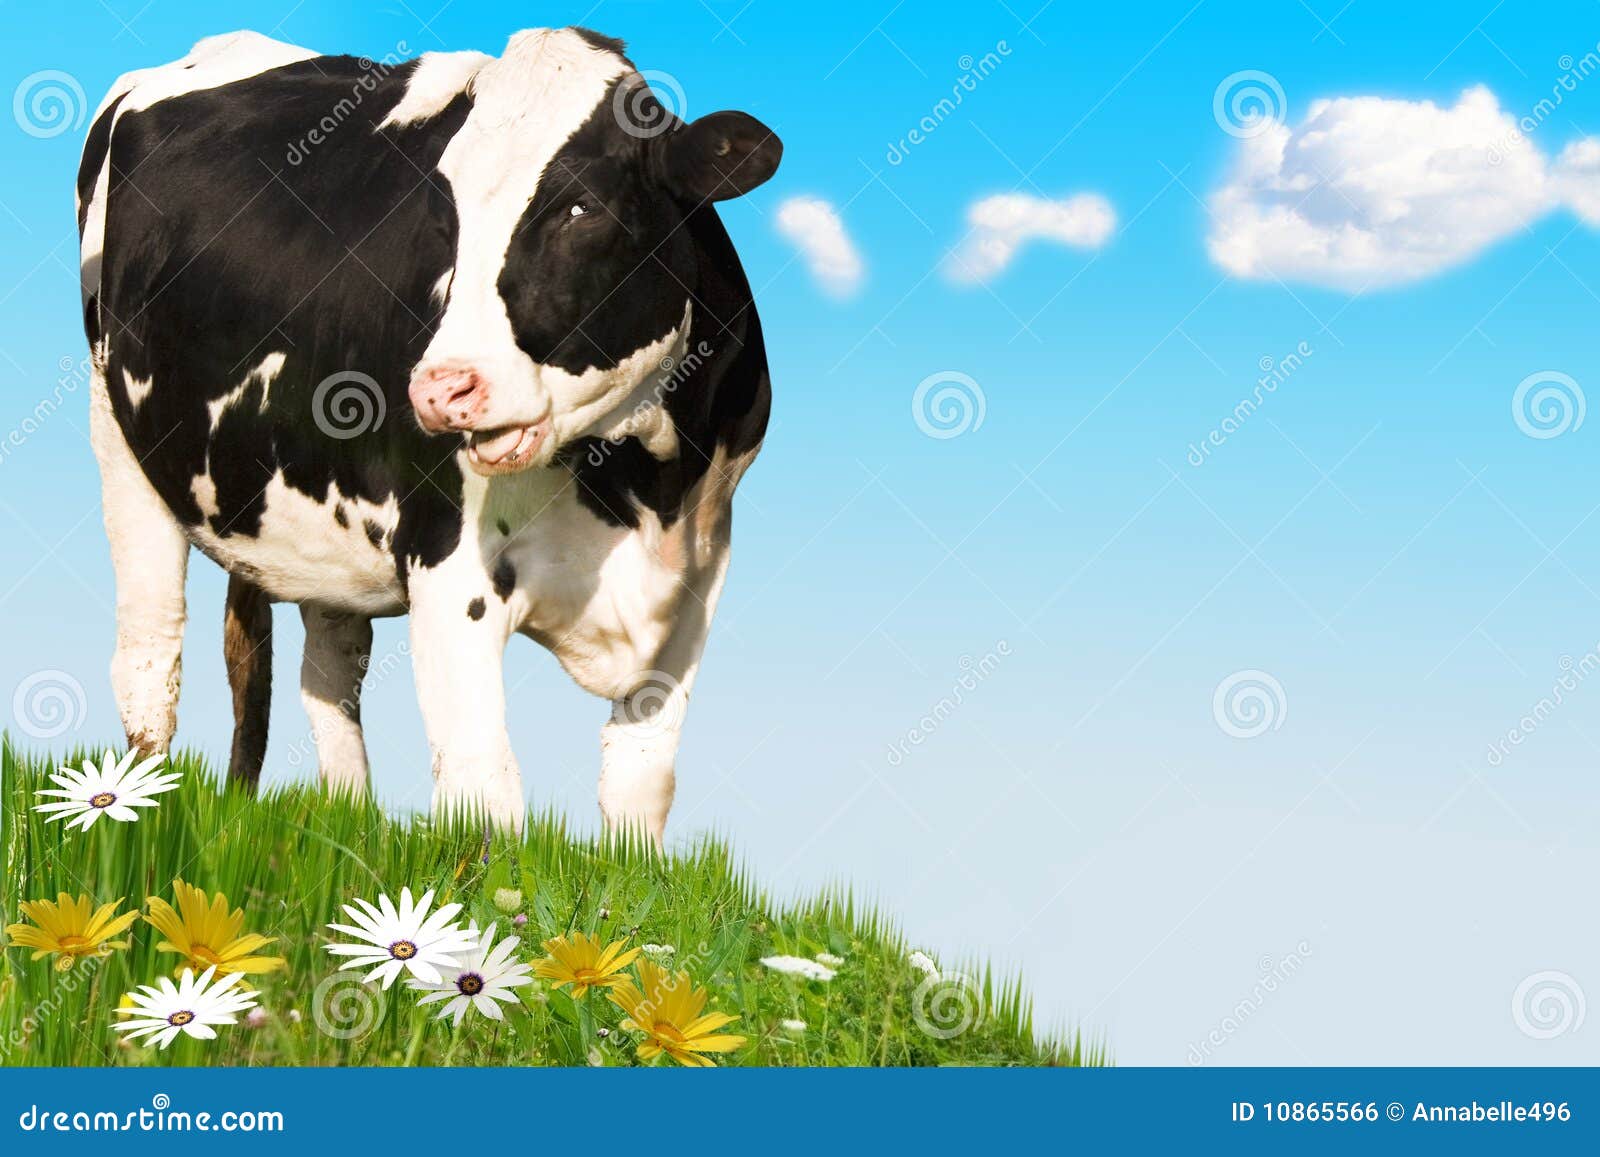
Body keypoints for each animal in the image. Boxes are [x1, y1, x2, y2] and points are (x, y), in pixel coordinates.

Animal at [76, 27, 781, 842]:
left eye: (584, 207)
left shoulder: (698, 571)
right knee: (150, 660)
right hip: (121, 444)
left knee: (327, 672)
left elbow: (641, 787)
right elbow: (484, 790)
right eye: (446, 227)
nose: (442, 388)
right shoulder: (446, 559)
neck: (643, 482)